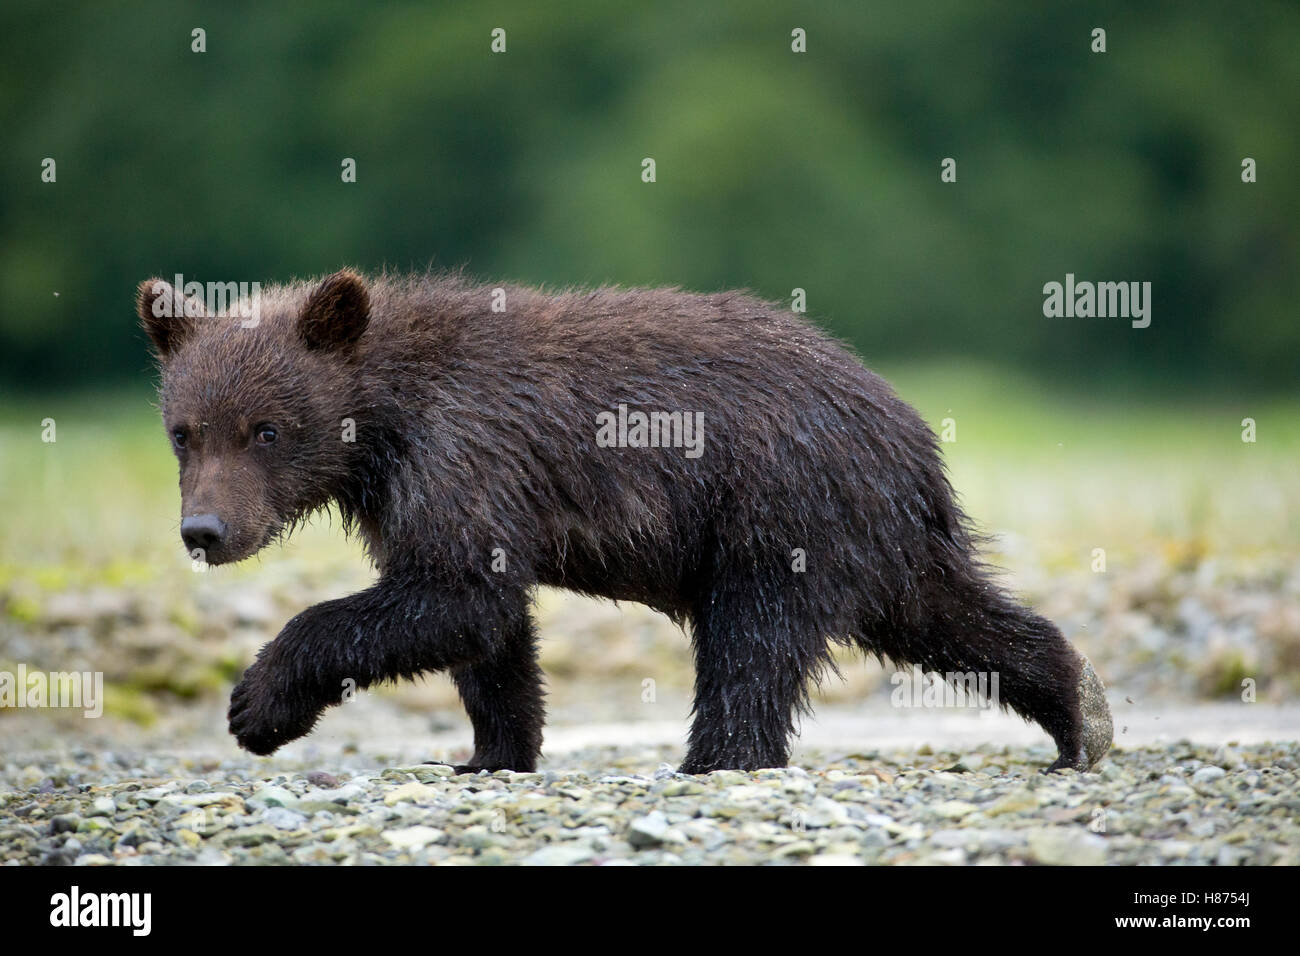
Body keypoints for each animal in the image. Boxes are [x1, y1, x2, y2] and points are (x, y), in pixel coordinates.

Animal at [137, 269, 1113, 775]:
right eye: (183, 431)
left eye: (266, 429)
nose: (205, 531)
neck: (383, 422)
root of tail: (910, 430)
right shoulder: (441, 488)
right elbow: (487, 632)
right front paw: (495, 752)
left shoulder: (465, 450)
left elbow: (451, 596)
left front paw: (259, 703)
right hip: (877, 536)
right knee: (947, 615)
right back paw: (1080, 712)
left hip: (779, 508)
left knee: (751, 644)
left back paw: (717, 757)